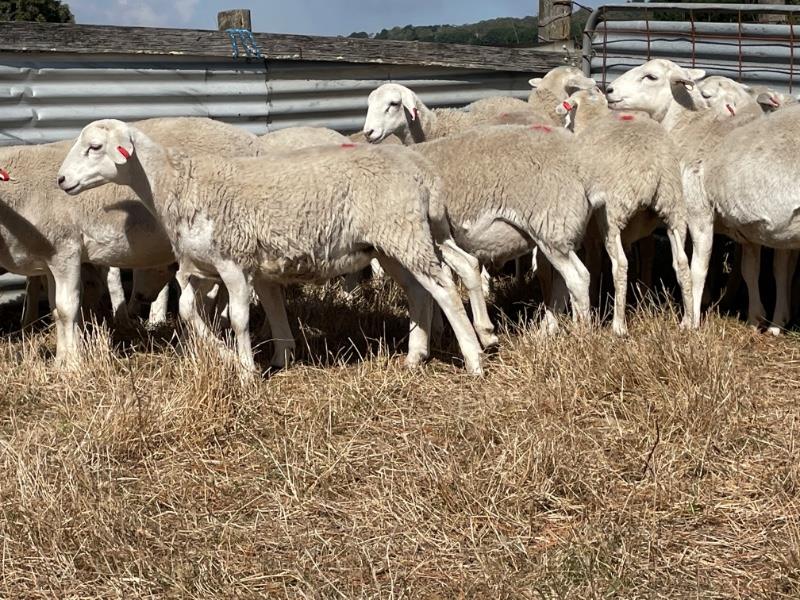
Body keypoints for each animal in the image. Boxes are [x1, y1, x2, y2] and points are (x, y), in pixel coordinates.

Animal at [58, 119, 489, 375]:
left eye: (94, 147)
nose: (61, 180)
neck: (178, 184)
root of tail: (422, 172)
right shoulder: (219, 266)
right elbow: (194, 311)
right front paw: (267, 357)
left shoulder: (232, 262)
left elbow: (237, 318)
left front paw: (248, 371)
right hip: (395, 241)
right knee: (420, 290)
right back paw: (415, 356)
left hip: (403, 232)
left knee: (444, 289)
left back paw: (474, 359)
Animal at [556, 88, 693, 335]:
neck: (593, 117)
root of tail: (651, 169)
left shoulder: (591, 234)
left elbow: (594, 267)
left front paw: (592, 302)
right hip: (674, 208)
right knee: (682, 263)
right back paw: (688, 321)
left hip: (612, 215)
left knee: (620, 265)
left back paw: (618, 326)